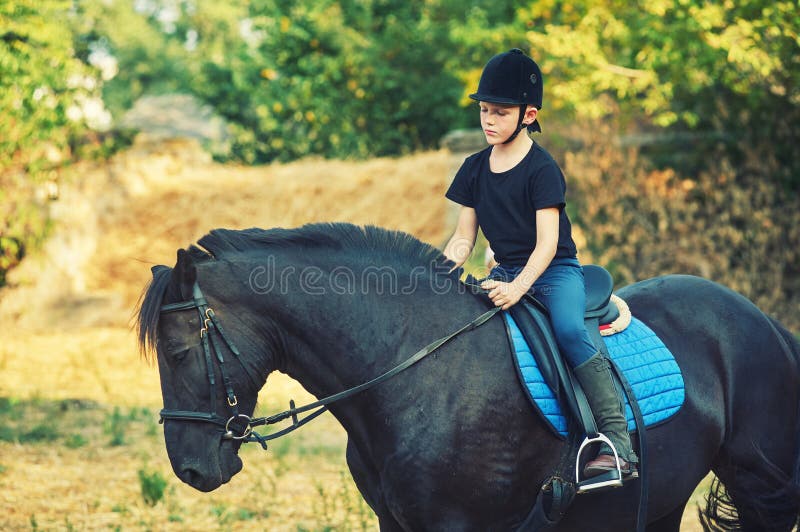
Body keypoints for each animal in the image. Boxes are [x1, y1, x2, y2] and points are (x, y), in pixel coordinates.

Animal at [136, 223, 800, 531]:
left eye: (178, 351)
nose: (190, 469)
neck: (410, 368)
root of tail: (764, 322)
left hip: (759, 486)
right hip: (659, 500)